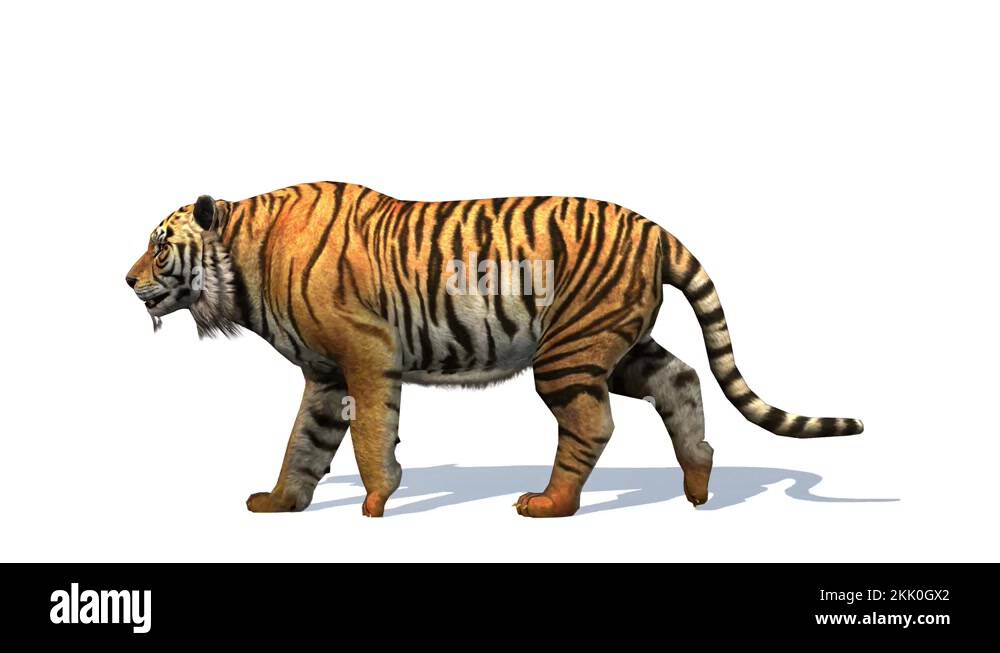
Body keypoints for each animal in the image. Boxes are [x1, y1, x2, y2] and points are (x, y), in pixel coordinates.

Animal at [126, 182, 863, 518]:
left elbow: (369, 435)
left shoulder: (365, 354)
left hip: (568, 349)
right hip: (618, 345)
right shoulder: (325, 371)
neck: (242, 262)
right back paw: (699, 485)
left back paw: (549, 504)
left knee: (592, 422)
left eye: (161, 245)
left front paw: (376, 502)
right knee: (680, 380)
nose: (127, 280)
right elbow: (304, 443)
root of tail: (655, 229)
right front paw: (280, 502)